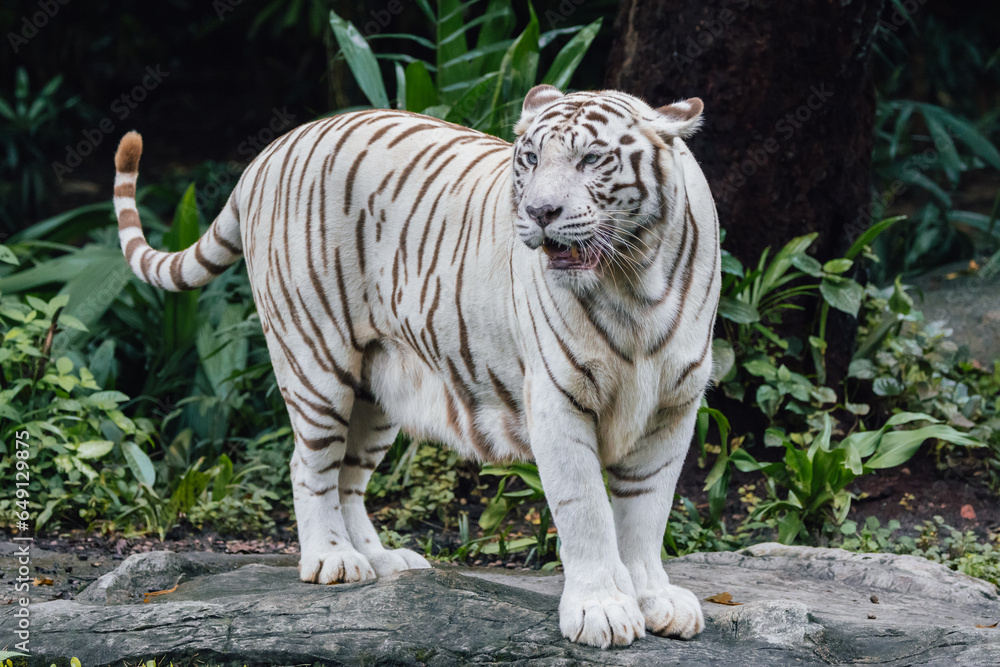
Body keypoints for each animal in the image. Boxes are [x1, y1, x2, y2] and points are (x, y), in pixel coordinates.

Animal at [112, 84, 720, 649]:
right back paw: (332, 560)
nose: (539, 213)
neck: (634, 281)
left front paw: (654, 600)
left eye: (591, 159)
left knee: (348, 476)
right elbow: (586, 510)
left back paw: (381, 560)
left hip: (377, 387)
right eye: (529, 159)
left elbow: (646, 513)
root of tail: (269, 152)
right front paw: (602, 610)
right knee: (309, 465)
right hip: (316, 361)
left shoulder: (673, 407)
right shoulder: (558, 401)